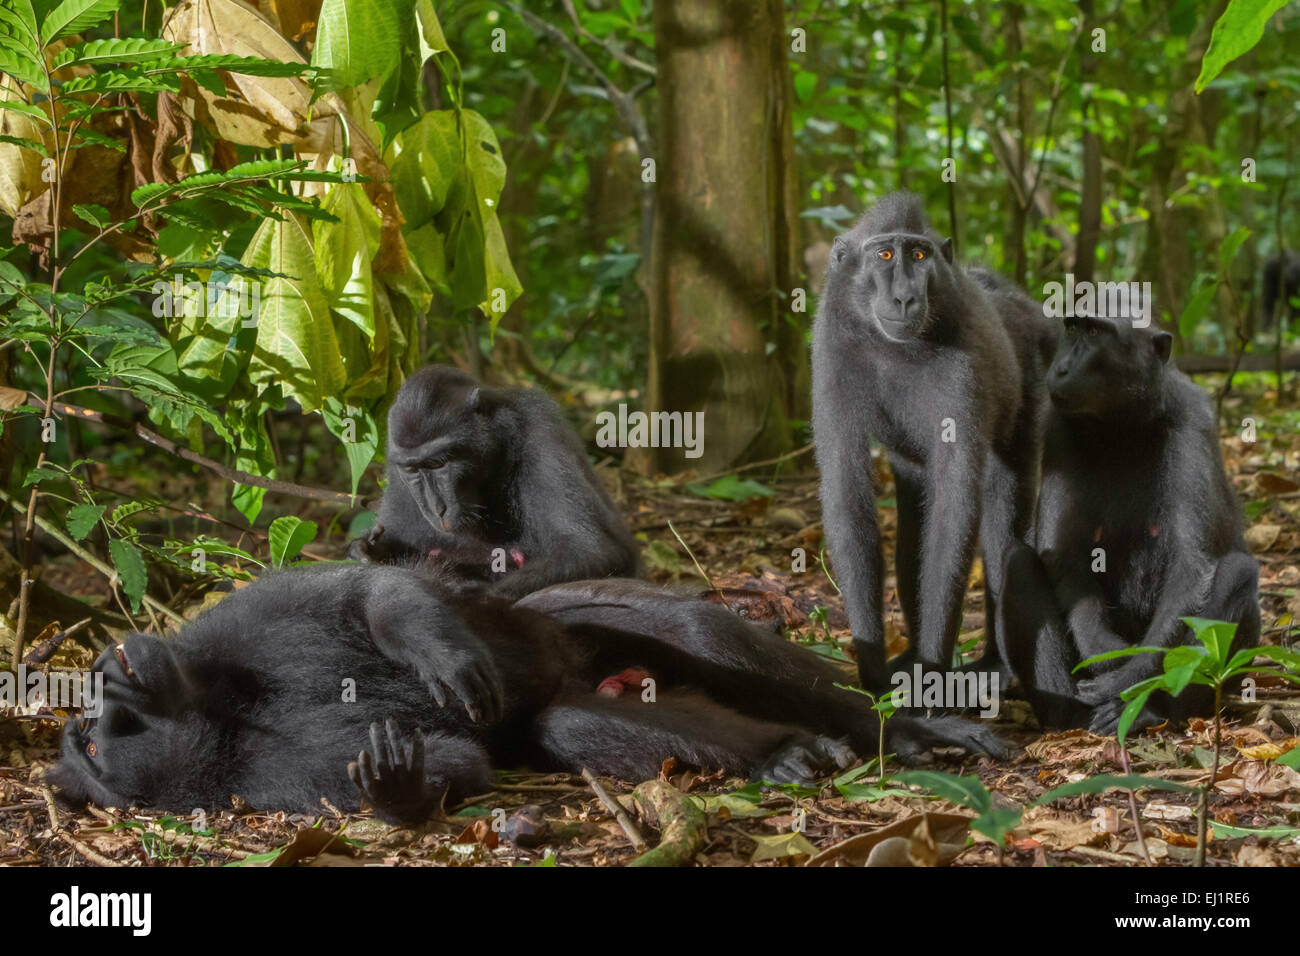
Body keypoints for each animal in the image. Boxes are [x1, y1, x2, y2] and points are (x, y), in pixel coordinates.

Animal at [50, 565, 1004, 824]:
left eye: (99, 720)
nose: (115, 671)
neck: (221, 710)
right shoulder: (252, 779)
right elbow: (454, 764)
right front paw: (397, 790)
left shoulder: (238, 622)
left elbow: (372, 595)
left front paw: (430, 647)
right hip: (581, 683)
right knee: (573, 723)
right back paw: (783, 751)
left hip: (563, 611)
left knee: (703, 636)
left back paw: (892, 729)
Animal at [354, 365, 640, 597]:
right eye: (413, 469)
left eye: (438, 463)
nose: (438, 508)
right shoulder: (396, 467)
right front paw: (368, 551)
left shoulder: (541, 434)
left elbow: (590, 550)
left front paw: (473, 592)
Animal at [812, 192, 1058, 692]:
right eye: (885, 254)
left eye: (920, 255)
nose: (906, 296)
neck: (889, 346)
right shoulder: (832, 348)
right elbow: (847, 491)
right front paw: (872, 669)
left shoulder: (961, 362)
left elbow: (956, 504)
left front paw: (930, 671)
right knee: (913, 516)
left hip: (1030, 394)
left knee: (1003, 522)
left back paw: (996, 664)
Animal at [998, 313, 1261, 734]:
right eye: (1072, 329)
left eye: (1094, 332)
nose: (1061, 368)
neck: (1122, 424)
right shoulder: (1058, 425)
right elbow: (1064, 557)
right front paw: (1108, 656)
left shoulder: (1192, 420)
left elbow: (1191, 564)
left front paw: (1128, 674)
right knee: (1019, 563)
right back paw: (1068, 717)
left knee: (1237, 571)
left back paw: (1148, 712)